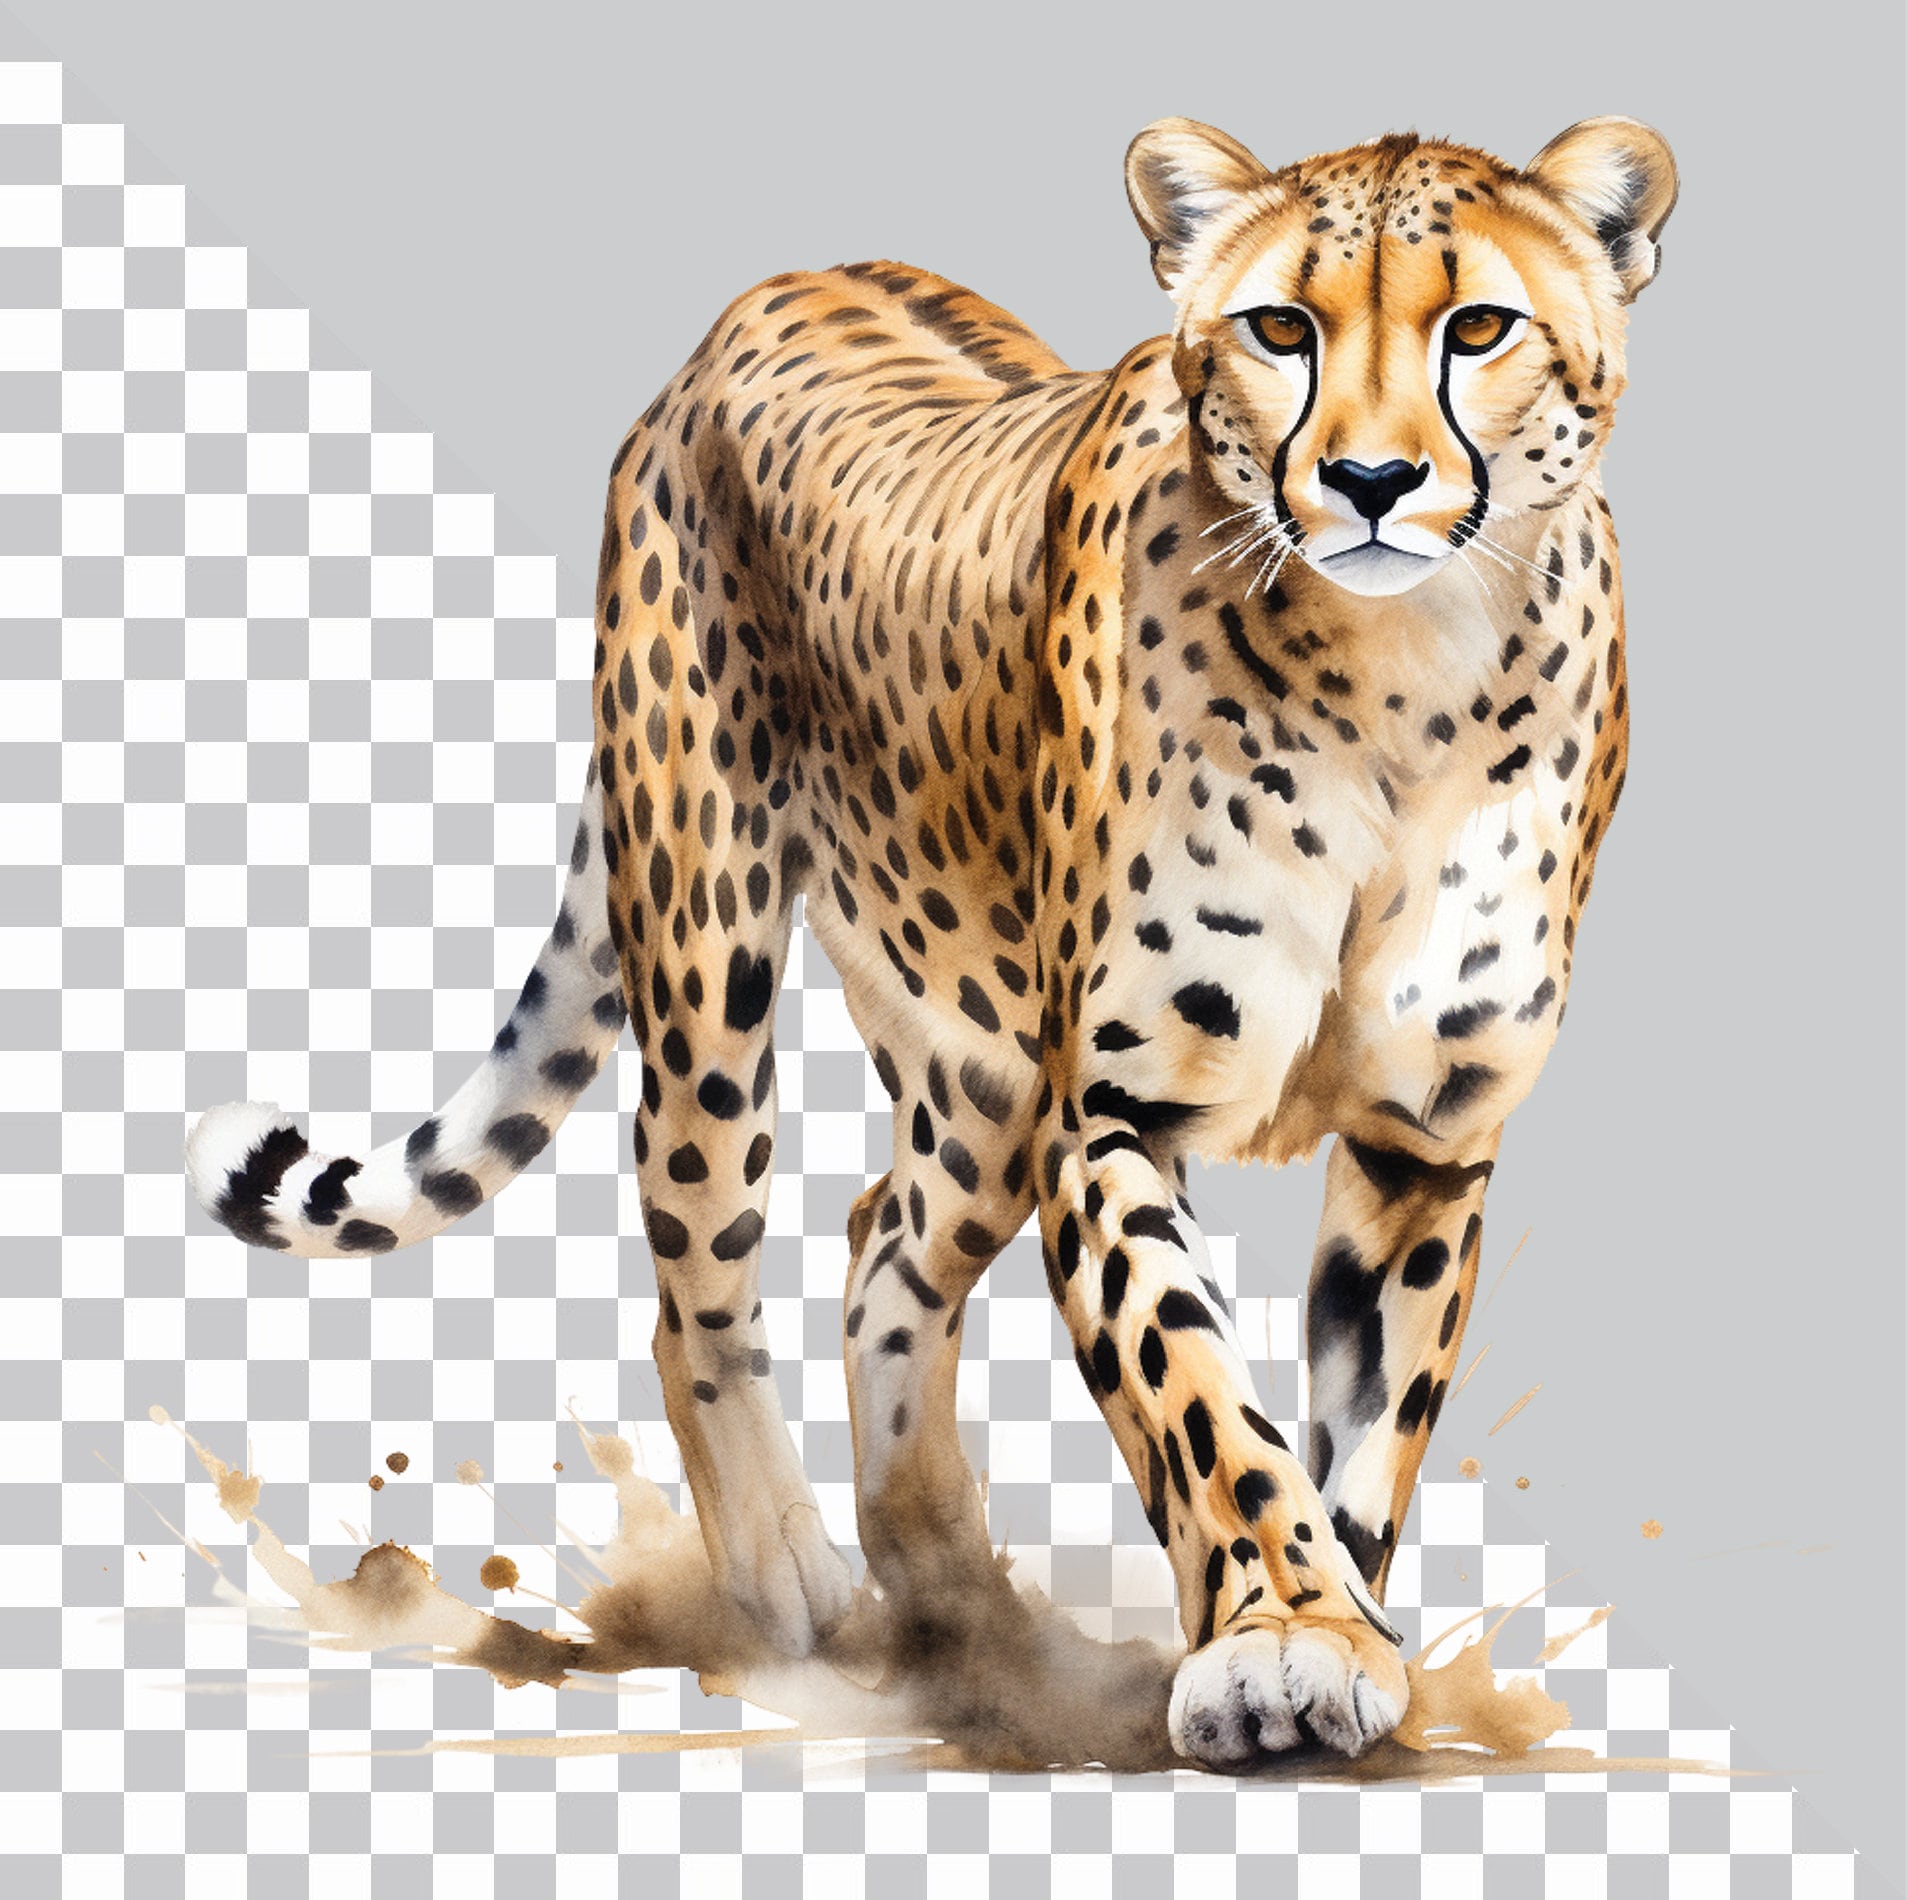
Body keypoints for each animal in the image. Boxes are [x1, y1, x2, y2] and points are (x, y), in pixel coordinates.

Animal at [187, 114, 1677, 1767]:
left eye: (1475, 328)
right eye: (1277, 329)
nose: (1363, 479)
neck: (1399, 676)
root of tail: (779, 286)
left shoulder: (1424, 1137)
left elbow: (1367, 1418)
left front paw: (1336, 1622)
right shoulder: (1110, 1117)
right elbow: (1197, 1391)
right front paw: (1278, 1636)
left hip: (980, 1077)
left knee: (880, 1249)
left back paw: (958, 1599)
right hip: (712, 952)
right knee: (698, 1266)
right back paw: (792, 1580)